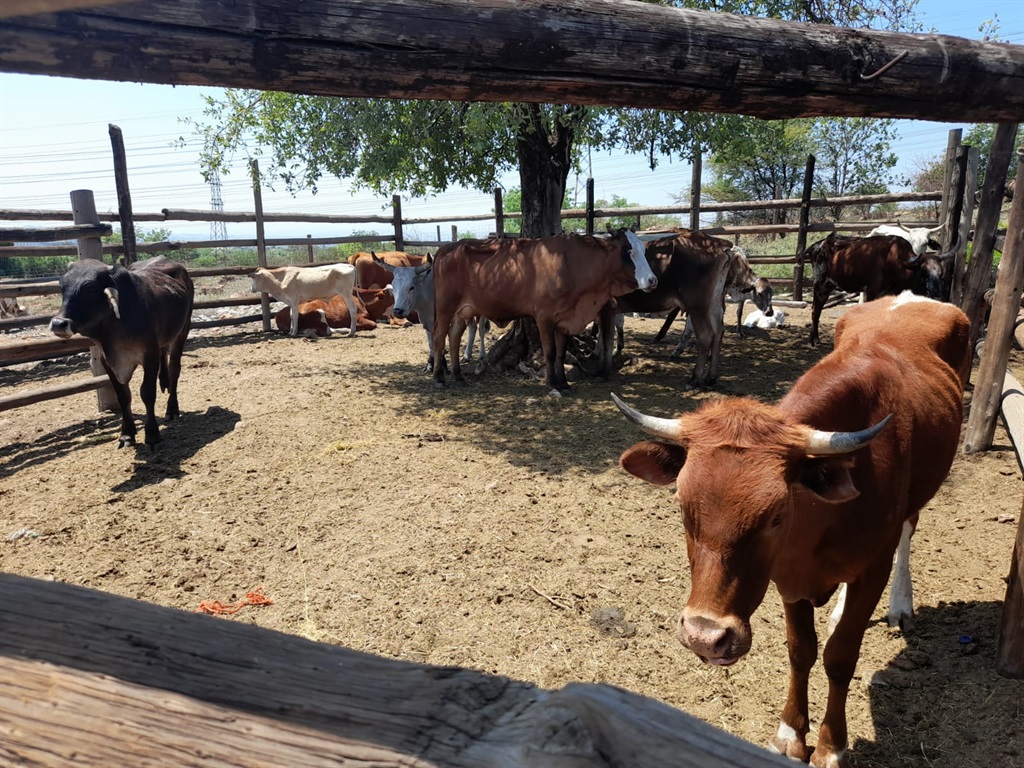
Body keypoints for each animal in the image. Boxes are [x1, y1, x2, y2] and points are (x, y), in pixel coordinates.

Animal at [49, 257, 194, 449]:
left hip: (183, 330)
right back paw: (164, 382)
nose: (58, 324)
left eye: (91, 288)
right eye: (61, 286)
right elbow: (123, 396)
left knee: (174, 369)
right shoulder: (107, 360)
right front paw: (126, 434)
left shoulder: (150, 355)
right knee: (165, 354)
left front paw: (152, 434)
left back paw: (172, 408)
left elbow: (147, 393)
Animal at [430, 229, 657, 394]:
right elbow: (550, 353)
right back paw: (439, 378)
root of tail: (446, 249)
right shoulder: (544, 318)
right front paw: (552, 385)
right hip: (445, 307)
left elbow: (561, 354)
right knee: (439, 336)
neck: (571, 265)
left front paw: (564, 383)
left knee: (454, 336)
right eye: (628, 251)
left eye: (643, 250)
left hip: (464, 311)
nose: (652, 280)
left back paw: (458, 376)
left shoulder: (564, 320)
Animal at [612, 230, 747, 387]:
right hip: (713, 303)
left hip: (698, 306)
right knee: (718, 332)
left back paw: (695, 378)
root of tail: (717, 243)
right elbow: (617, 325)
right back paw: (710, 377)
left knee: (705, 336)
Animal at [612, 292, 970, 768]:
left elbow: (840, 655)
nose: (705, 637)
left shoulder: (872, 567)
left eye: (776, 517)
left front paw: (831, 745)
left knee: (909, 533)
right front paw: (790, 734)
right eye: (684, 508)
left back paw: (900, 604)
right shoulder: (789, 579)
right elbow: (801, 651)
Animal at [807, 233, 951, 345]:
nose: (937, 295)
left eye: (942, 275)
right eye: (922, 273)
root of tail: (819, 244)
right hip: (820, 284)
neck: (894, 261)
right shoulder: (872, 291)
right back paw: (813, 339)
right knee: (815, 309)